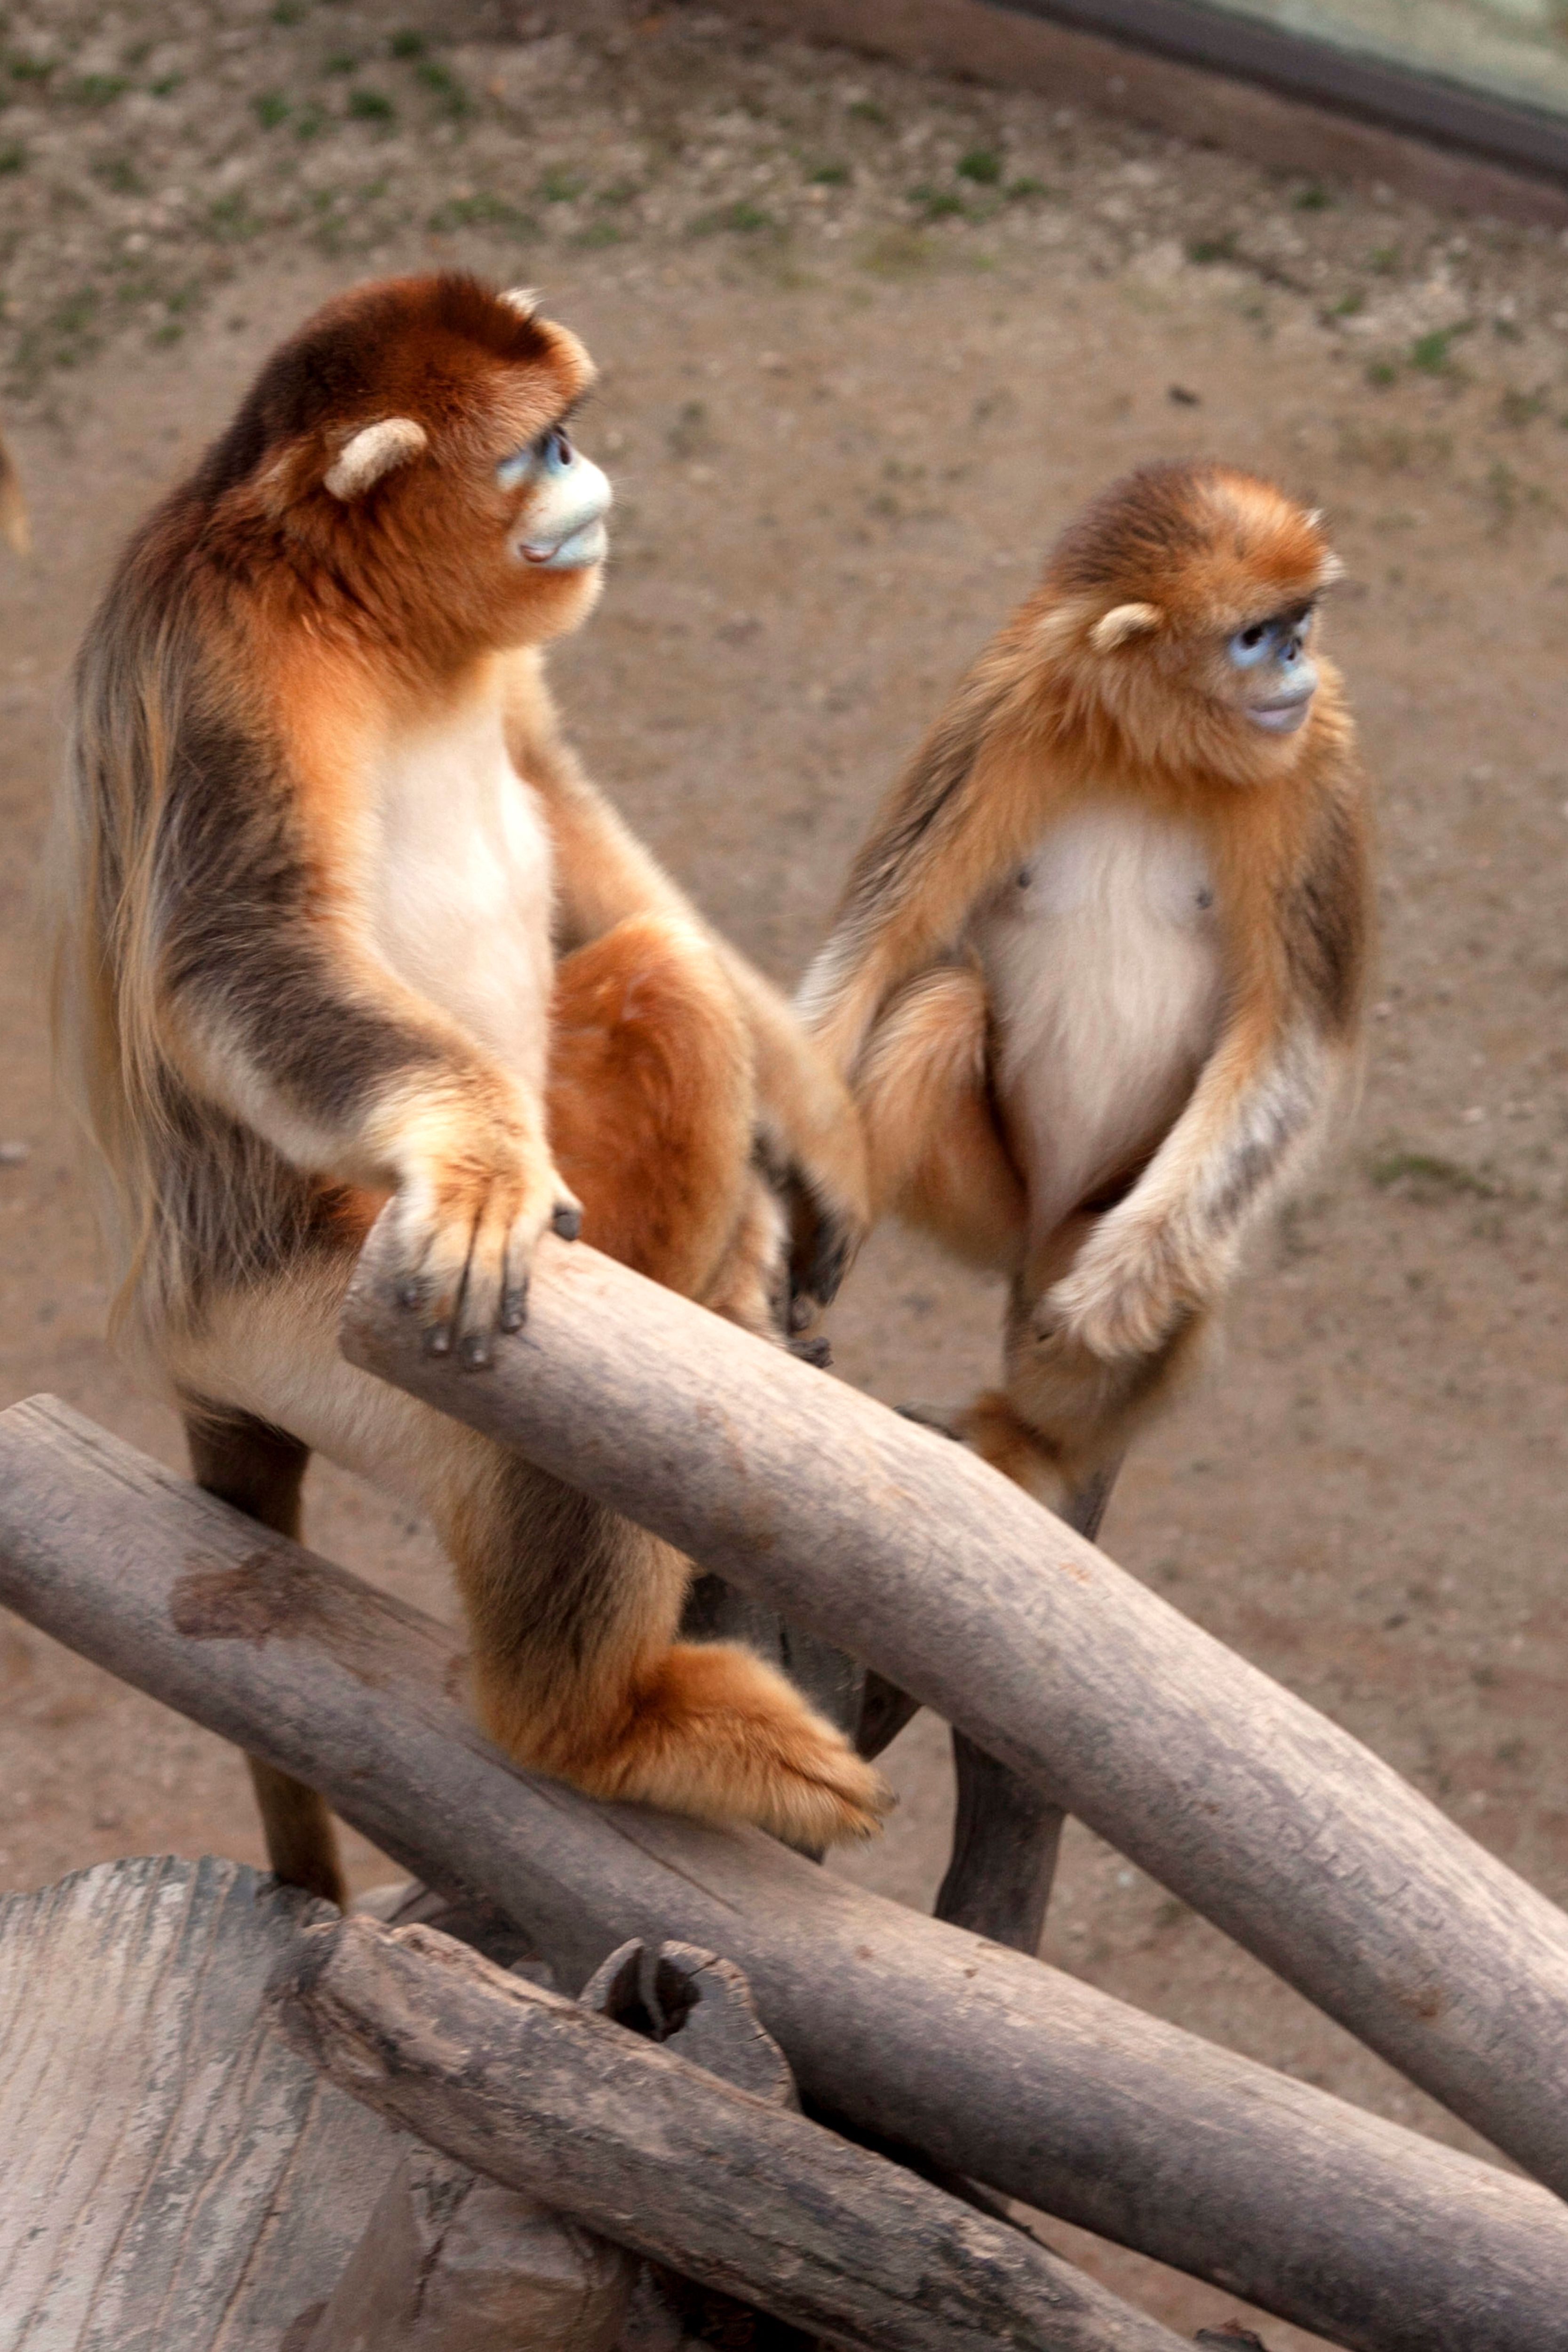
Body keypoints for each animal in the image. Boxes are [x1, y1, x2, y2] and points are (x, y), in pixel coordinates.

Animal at [50, 272, 887, 1907]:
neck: (369, 624)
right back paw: (598, 1730)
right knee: (535, 1422)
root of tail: (182, 1346)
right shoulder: (228, 658)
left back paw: (713, 1289)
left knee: (668, 984)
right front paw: (469, 1155)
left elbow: (561, 799)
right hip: (282, 1323)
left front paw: (810, 1143)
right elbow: (239, 949)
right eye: (540, 448)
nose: (593, 479)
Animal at [798, 460, 1371, 1514]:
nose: (1295, 663)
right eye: (1252, 636)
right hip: (992, 1213)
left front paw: (1118, 1290)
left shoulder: (1320, 763)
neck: (1154, 751)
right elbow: (876, 941)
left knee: (1190, 1266)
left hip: (1084, 1223)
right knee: (940, 1002)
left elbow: (1283, 1045)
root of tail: (1029, 1248)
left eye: (1299, 621)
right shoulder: (1001, 709)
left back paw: (1031, 1439)